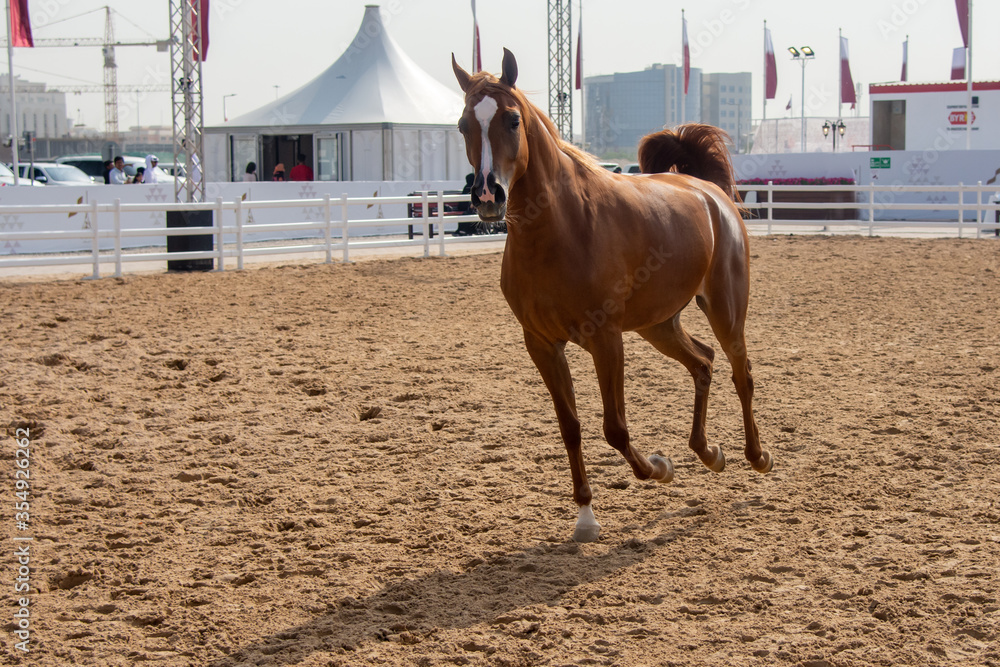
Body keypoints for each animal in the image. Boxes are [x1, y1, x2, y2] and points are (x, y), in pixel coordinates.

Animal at [452, 49, 773, 543]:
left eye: (511, 119)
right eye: (463, 124)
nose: (488, 194)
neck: (561, 229)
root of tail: (710, 193)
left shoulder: (606, 340)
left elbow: (615, 429)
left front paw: (660, 467)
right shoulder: (541, 345)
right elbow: (570, 427)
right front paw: (585, 516)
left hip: (725, 309)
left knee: (743, 374)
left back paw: (757, 457)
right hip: (658, 324)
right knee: (703, 362)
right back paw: (709, 453)